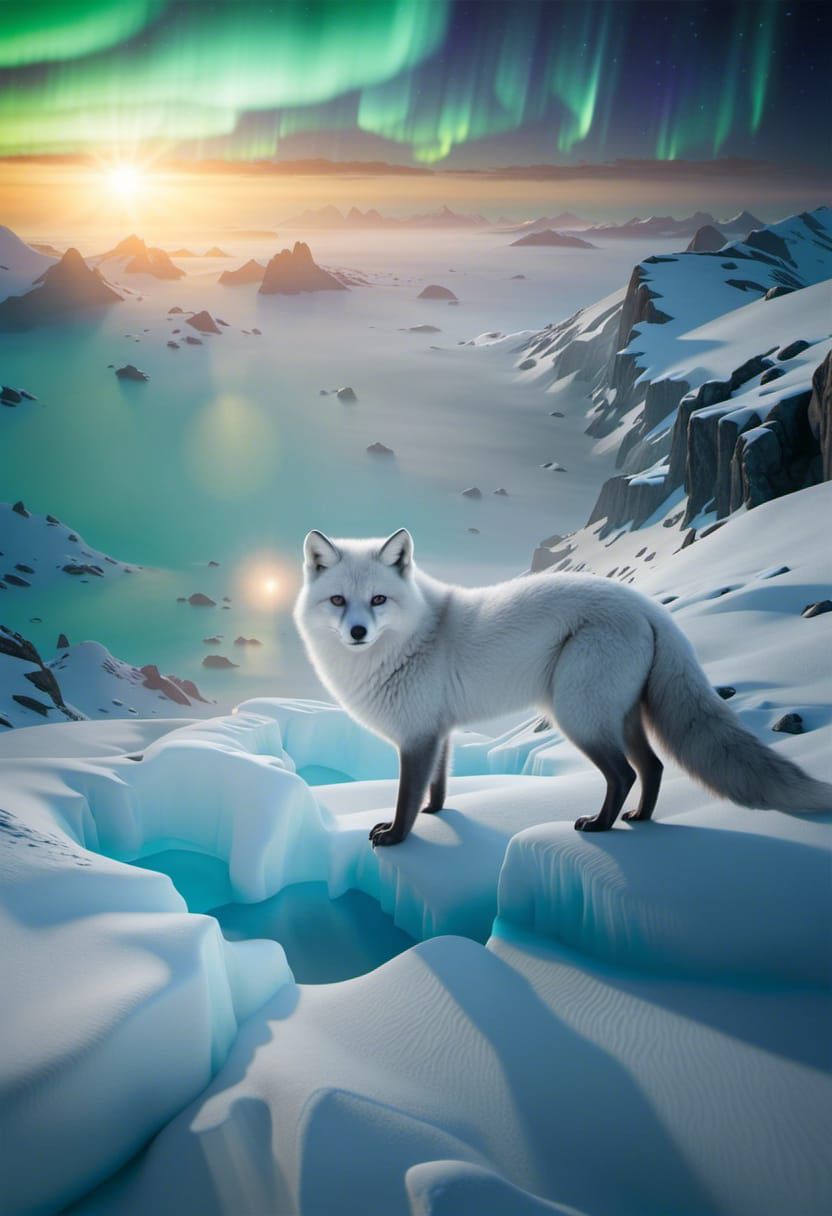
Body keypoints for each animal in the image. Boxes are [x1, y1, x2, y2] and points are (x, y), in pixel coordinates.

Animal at [293, 528, 832, 847]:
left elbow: (406, 794)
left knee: (624, 773)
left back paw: (601, 825)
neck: (416, 635)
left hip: (579, 716)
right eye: (338, 601)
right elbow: (438, 787)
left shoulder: (418, 735)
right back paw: (639, 818)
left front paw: (397, 836)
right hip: (619, 717)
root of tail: (648, 607)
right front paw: (436, 812)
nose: (357, 632)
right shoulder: (438, 732)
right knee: (653, 767)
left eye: (378, 600)